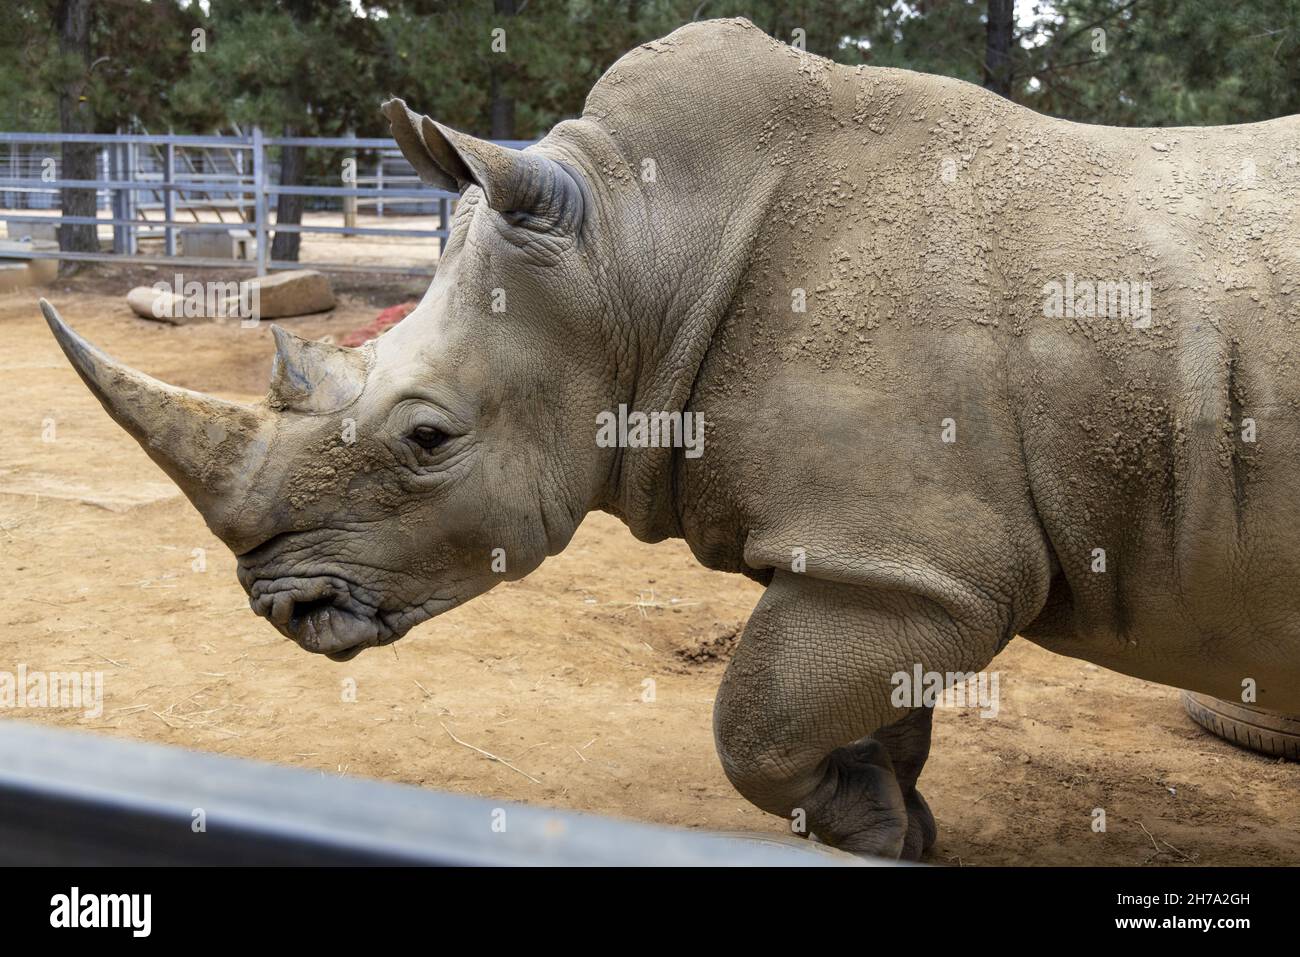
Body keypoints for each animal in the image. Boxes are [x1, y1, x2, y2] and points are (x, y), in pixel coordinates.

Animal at [41, 18, 1300, 859]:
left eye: (428, 438)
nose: (285, 608)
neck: (637, 254)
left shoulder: (909, 562)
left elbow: (751, 720)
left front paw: (858, 823)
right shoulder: (894, 560)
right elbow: (878, 711)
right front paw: (892, 823)